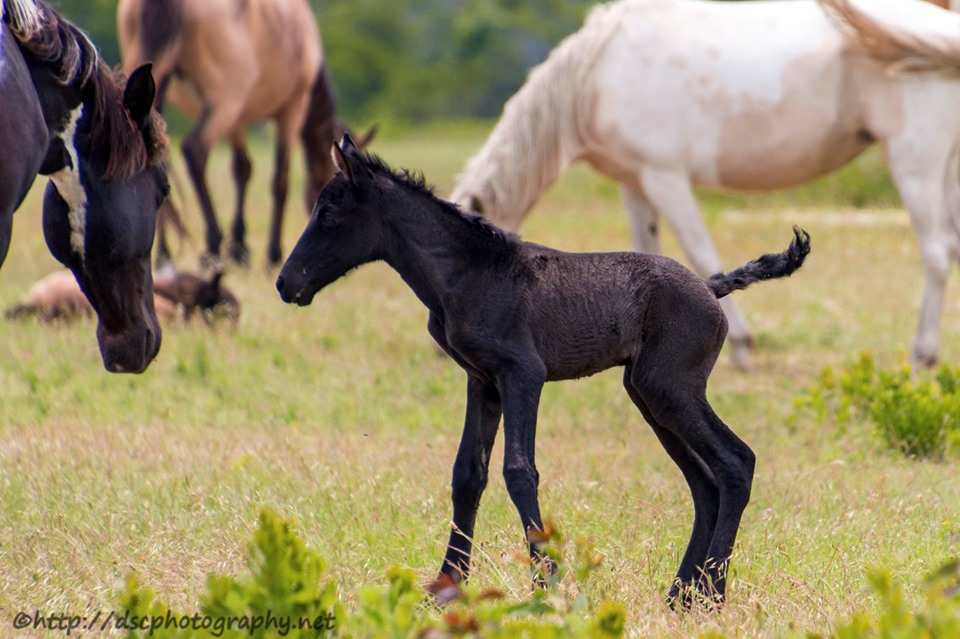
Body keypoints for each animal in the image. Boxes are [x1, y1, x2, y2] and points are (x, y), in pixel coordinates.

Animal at [117, 0, 372, 267]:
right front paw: (273, 253)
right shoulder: (292, 110)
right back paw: (212, 242)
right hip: (225, 100)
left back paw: (163, 251)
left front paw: (240, 248)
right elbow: (280, 180)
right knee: (195, 150)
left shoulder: (237, 122)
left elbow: (242, 169)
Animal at [276, 135, 811, 608]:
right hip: (647, 393)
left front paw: (548, 586)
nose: (286, 283)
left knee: (735, 463)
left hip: (673, 389)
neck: (469, 274)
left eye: (329, 213)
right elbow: (467, 475)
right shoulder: (482, 381)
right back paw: (680, 597)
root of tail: (710, 287)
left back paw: (712, 596)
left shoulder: (522, 374)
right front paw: (446, 588)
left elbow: (519, 472)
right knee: (704, 481)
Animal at [450, 0, 960, 369]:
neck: (596, 77)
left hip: (915, 162)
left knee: (936, 255)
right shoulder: (634, 185)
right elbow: (643, 252)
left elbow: (702, 257)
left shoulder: (665, 177)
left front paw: (743, 347)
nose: (453, 349)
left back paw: (922, 356)